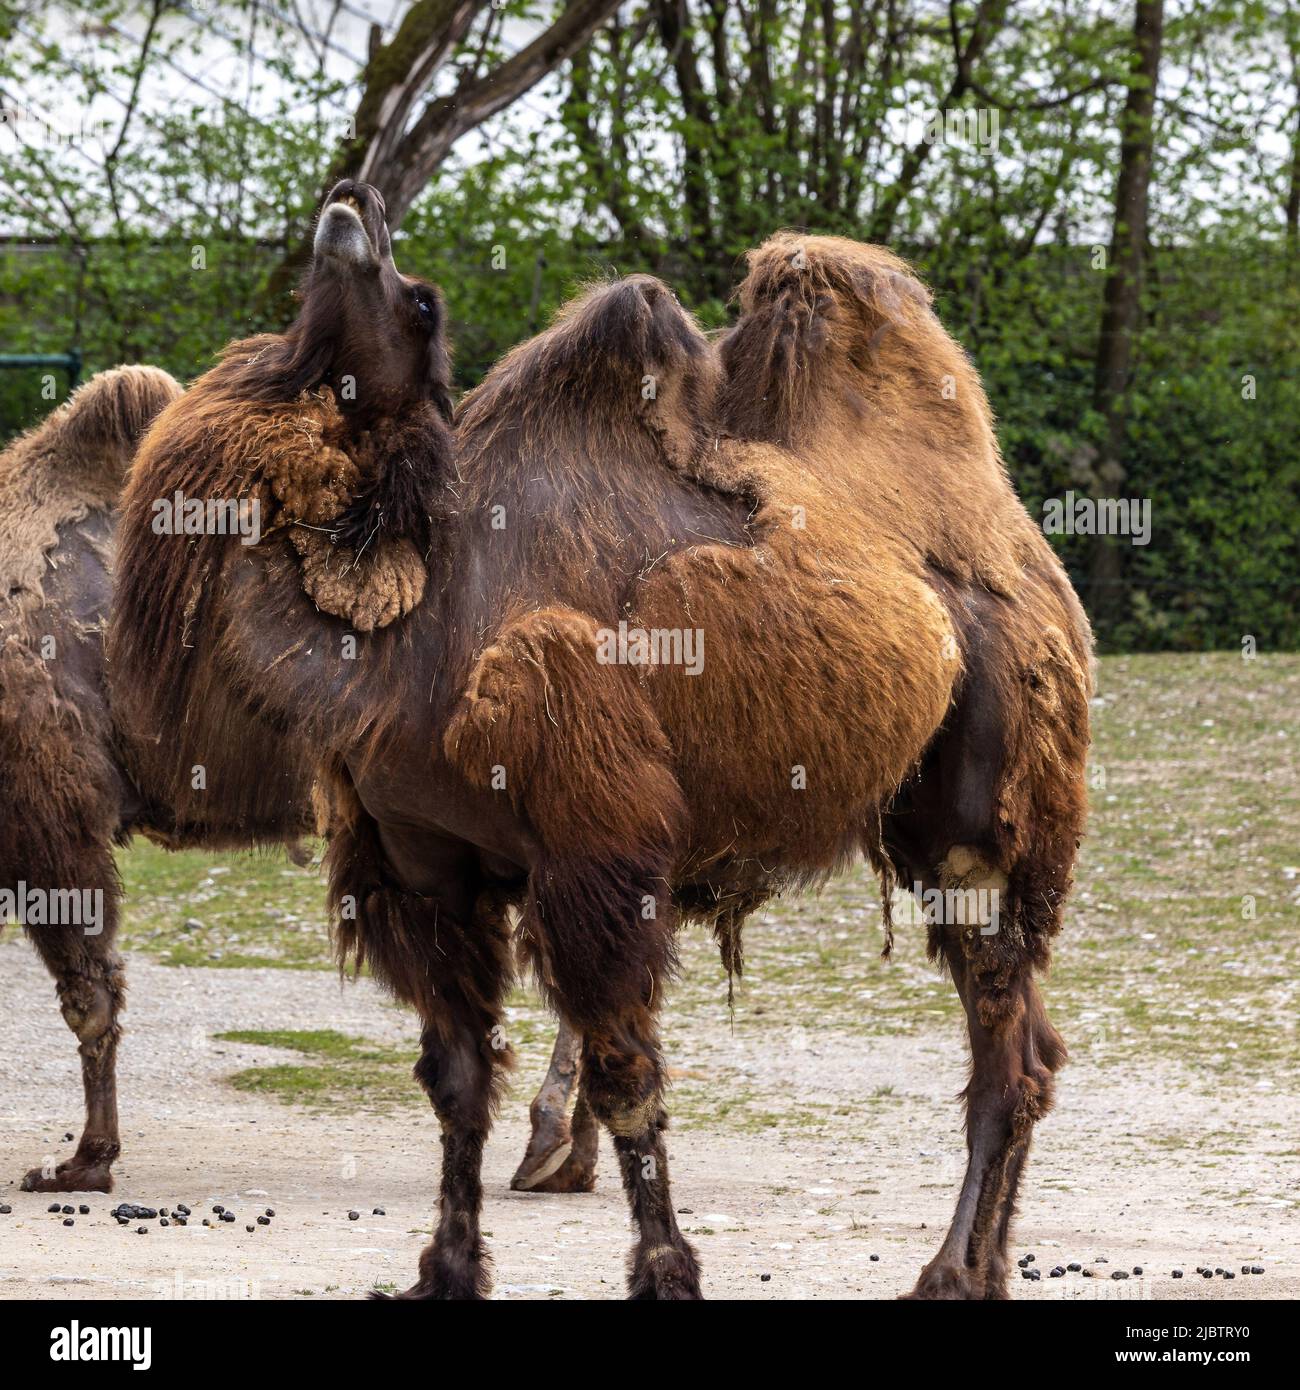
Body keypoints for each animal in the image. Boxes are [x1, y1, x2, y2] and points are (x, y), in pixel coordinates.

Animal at [109, 181, 1091, 1299]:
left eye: (422, 302)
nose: (351, 208)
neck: (403, 645)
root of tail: (1031, 568)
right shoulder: (424, 872)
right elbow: (454, 1080)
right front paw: (448, 1268)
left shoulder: (594, 846)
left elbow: (625, 1073)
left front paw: (665, 1269)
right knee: (1033, 1047)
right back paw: (989, 1266)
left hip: (986, 817)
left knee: (1006, 1053)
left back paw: (946, 1272)